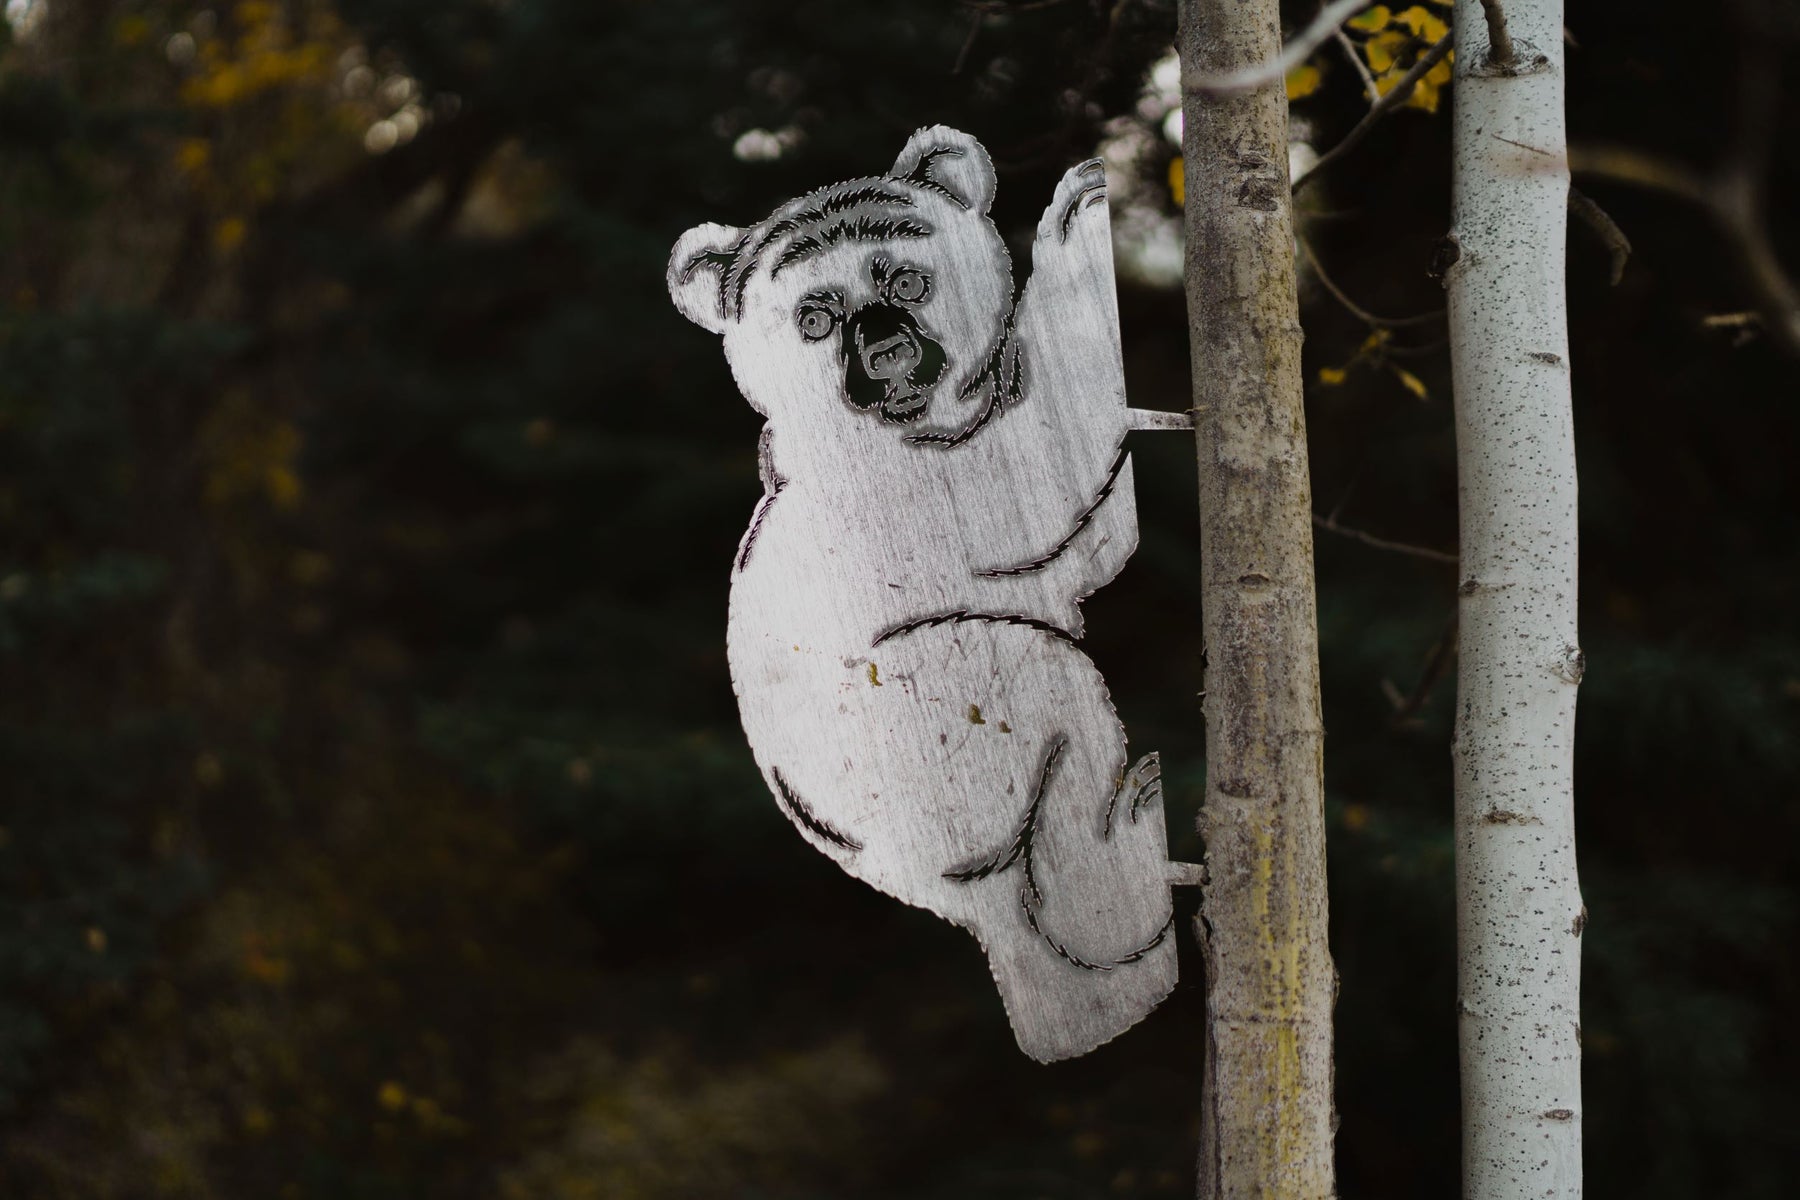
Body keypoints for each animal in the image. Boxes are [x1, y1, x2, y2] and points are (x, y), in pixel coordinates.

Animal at [668, 126, 1176, 1062]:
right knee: (1054, 707)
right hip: (932, 721)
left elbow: (1089, 537)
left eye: (905, 278)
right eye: (816, 316)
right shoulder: (901, 502)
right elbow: (1036, 473)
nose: (888, 352)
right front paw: (1081, 216)